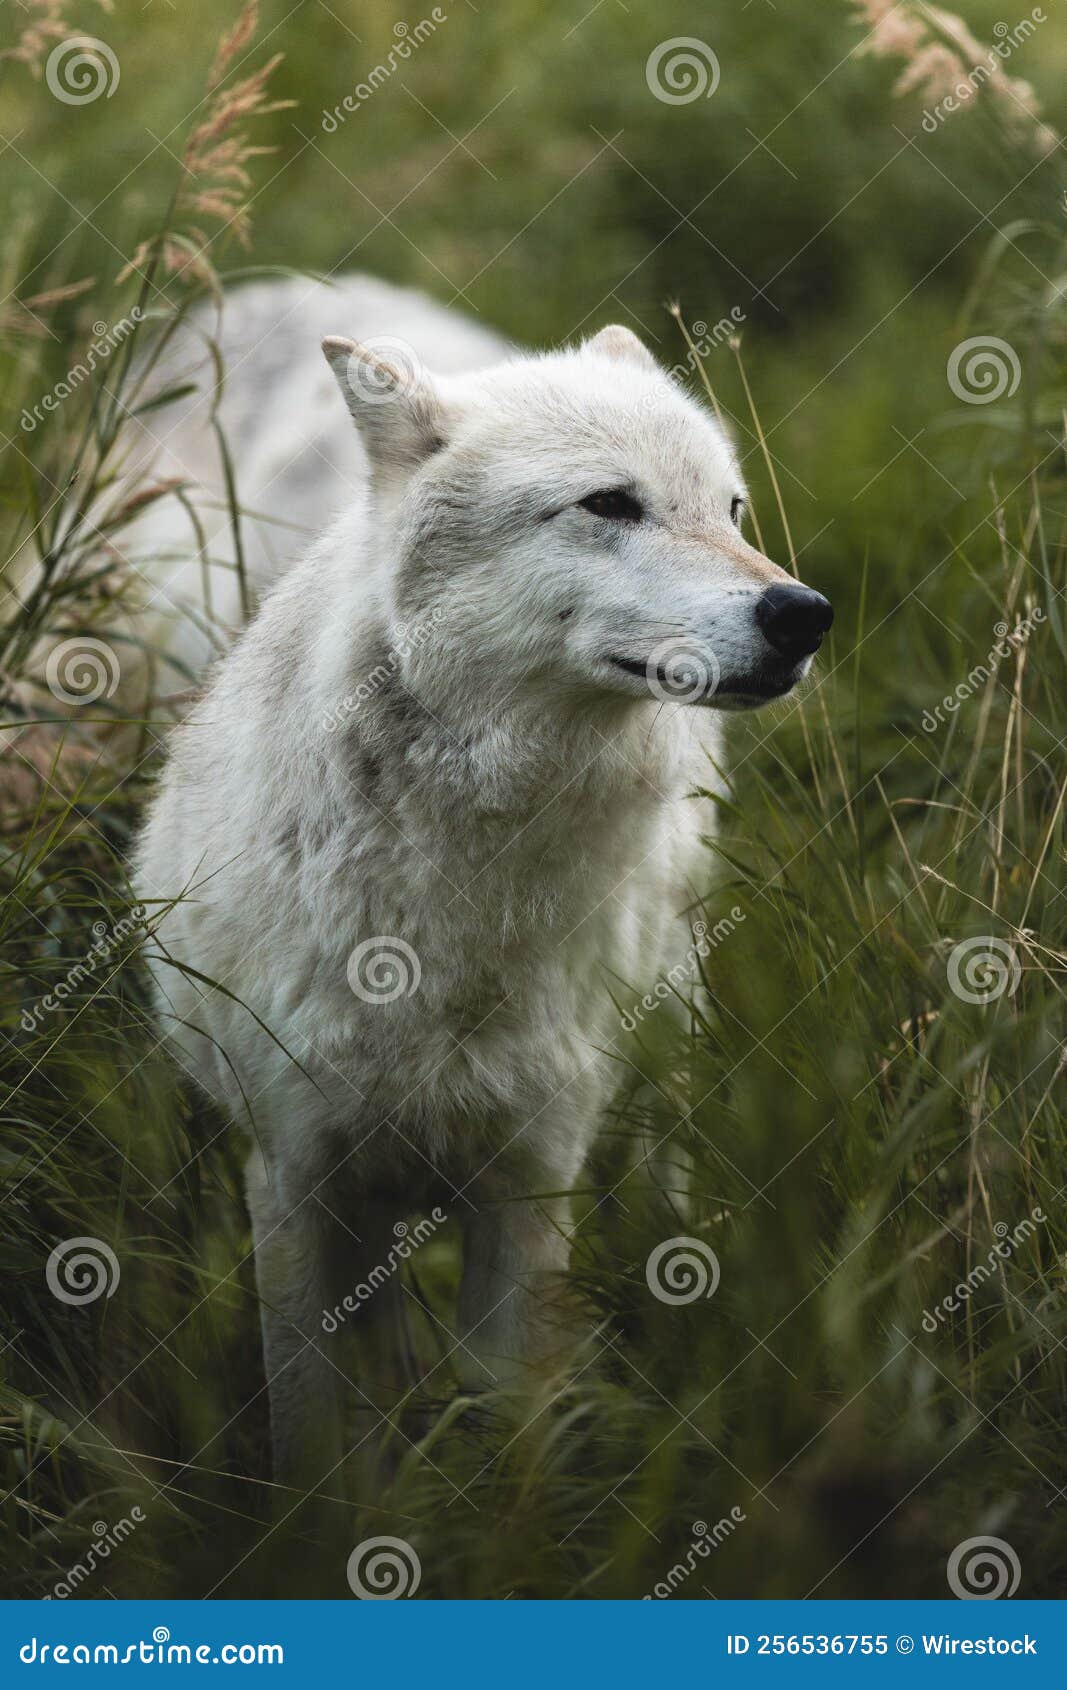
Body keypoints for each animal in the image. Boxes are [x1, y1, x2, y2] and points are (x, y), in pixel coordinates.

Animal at [134, 301, 832, 1487]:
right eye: (610, 504)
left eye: (730, 508)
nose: (804, 613)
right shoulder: (293, 1175)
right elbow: (310, 1431)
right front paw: (329, 1518)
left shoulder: (531, 1177)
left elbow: (513, 1433)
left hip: (667, 1040)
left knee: (667, 1174)